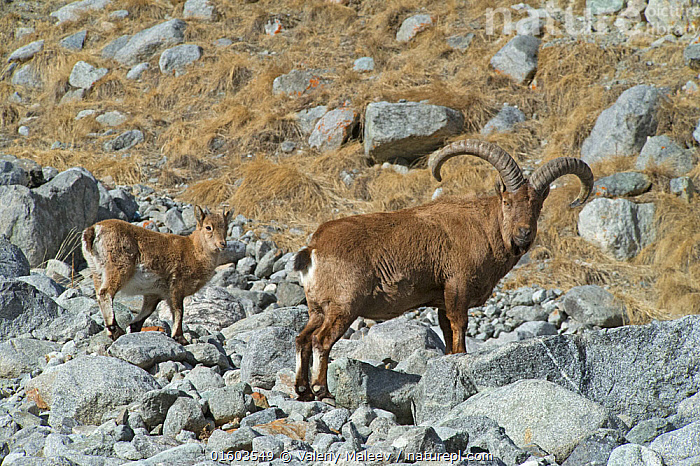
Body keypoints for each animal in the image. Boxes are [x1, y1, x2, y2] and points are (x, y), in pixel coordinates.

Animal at [81, 206, 231, 344]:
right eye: (208, 227)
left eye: (226, 226)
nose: (222, 244)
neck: (194, 251)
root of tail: (94, 230)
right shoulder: (176, 286)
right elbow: (179, 311)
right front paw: (180, 338)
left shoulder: (154, 293)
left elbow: (146, 312)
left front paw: (134, 328)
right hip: (118, 269)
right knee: (105, 293)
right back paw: (116, 331)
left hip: (97, 272)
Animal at [292, 139, 593, 401]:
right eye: (507, 202)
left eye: (537, 205)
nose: (523, 234)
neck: (485, 229)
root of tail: (314, 248)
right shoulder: (457, 287)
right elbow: (460, 327)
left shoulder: (441, 300)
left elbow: (448, 334)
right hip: (343, 306)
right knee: (321, 340)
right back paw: (322, 390)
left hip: (318, 308)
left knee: (302, 339)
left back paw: (303, 390)